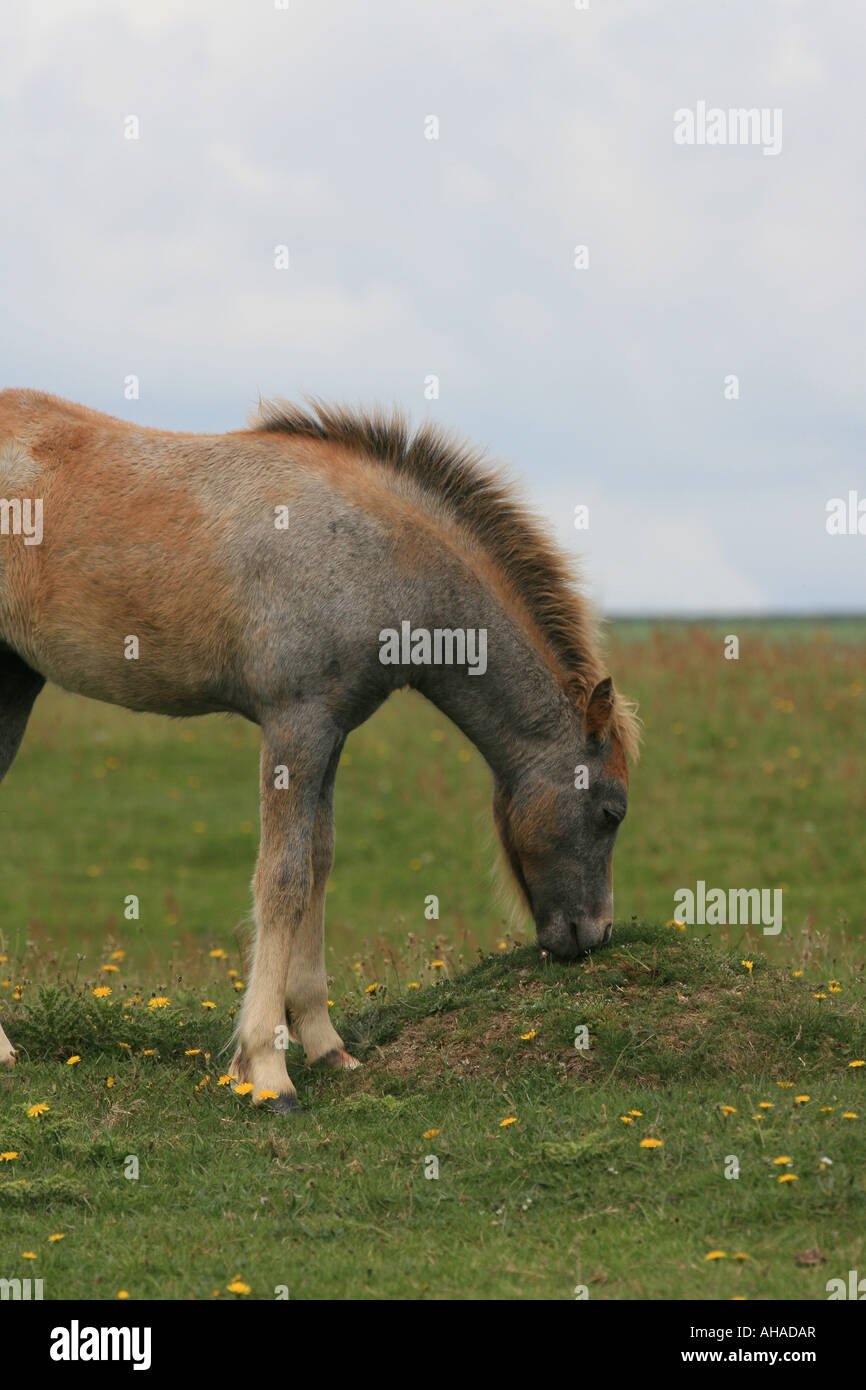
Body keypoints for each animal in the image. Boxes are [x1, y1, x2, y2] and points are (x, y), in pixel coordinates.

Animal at [0, 389, 639, 1112]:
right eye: (611, 812)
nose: (596, 936)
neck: (380, 560)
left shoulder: (331, 732)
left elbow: (318, 866)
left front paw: (324, 1044)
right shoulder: (295, 726)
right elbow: (282, 879)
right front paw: (264, 1069)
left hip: (14, 681)